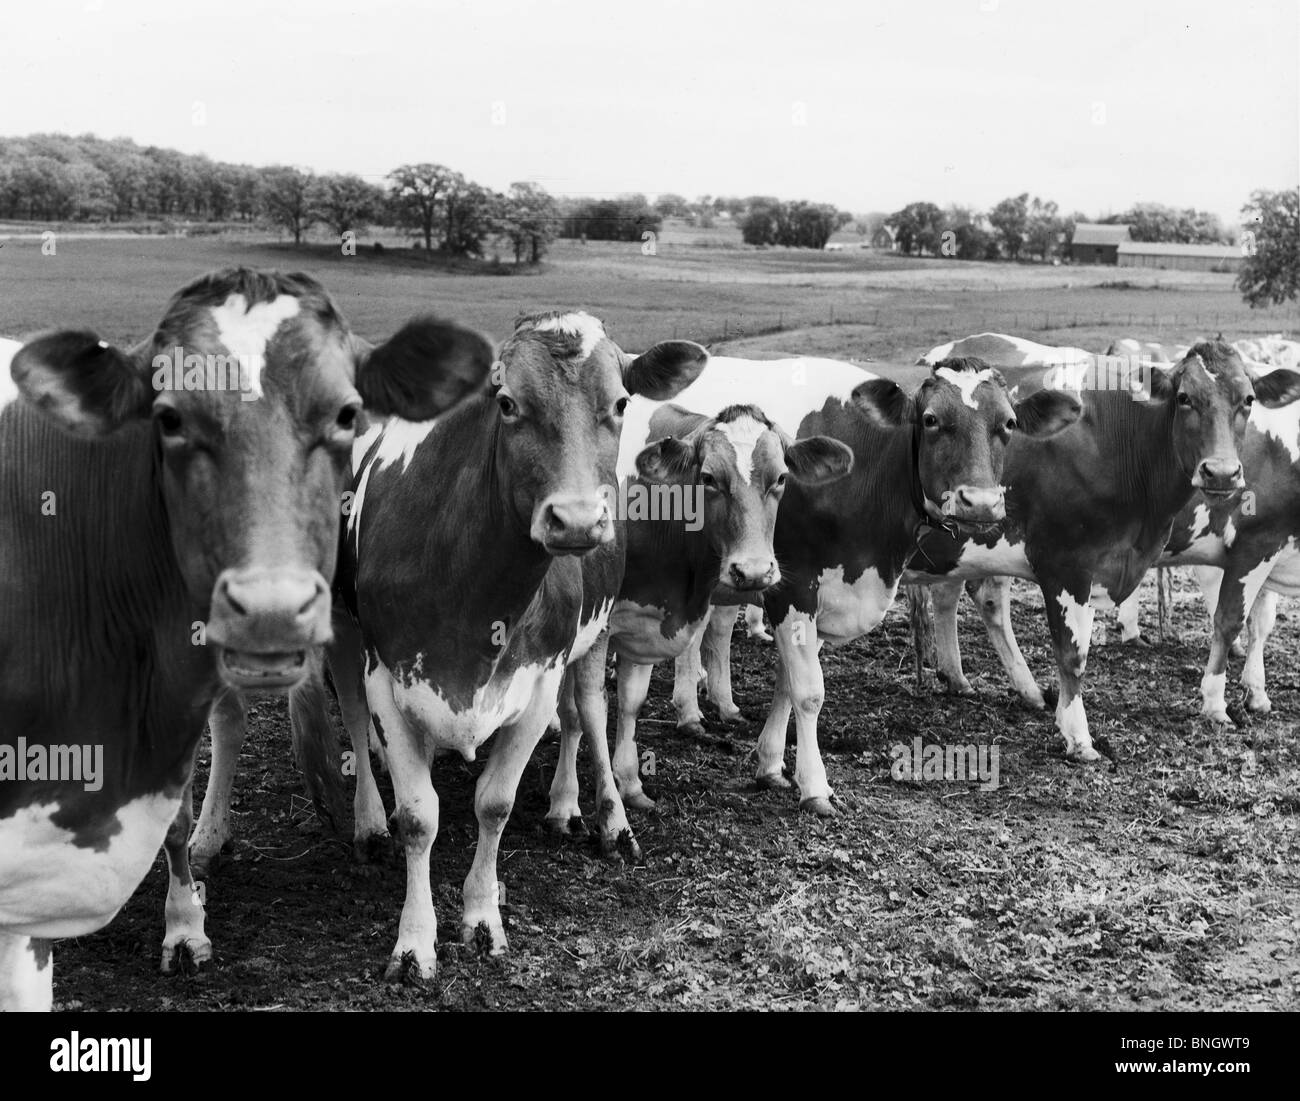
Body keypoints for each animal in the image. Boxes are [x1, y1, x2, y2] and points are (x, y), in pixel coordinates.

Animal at [283, 309, 707, 982]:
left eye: (619, 402)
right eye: (507, 402)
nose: (576, 520)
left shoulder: (537, 679)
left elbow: (496, 803)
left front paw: (482, 917)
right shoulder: (388, 676)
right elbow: (419, 815)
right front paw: (415, 941)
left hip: (593, 634)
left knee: (589, 713)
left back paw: (606, 820)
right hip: (346, 627)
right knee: (350, 712)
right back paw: (369, 819)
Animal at [603, 356, 1081, 816]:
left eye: (1009, 424)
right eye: (930, 419)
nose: (979, 503)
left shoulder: (818, 599)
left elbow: (787, 683)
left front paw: (771, 765)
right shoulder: (792, 588)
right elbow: (809, 691)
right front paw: (814, 788)